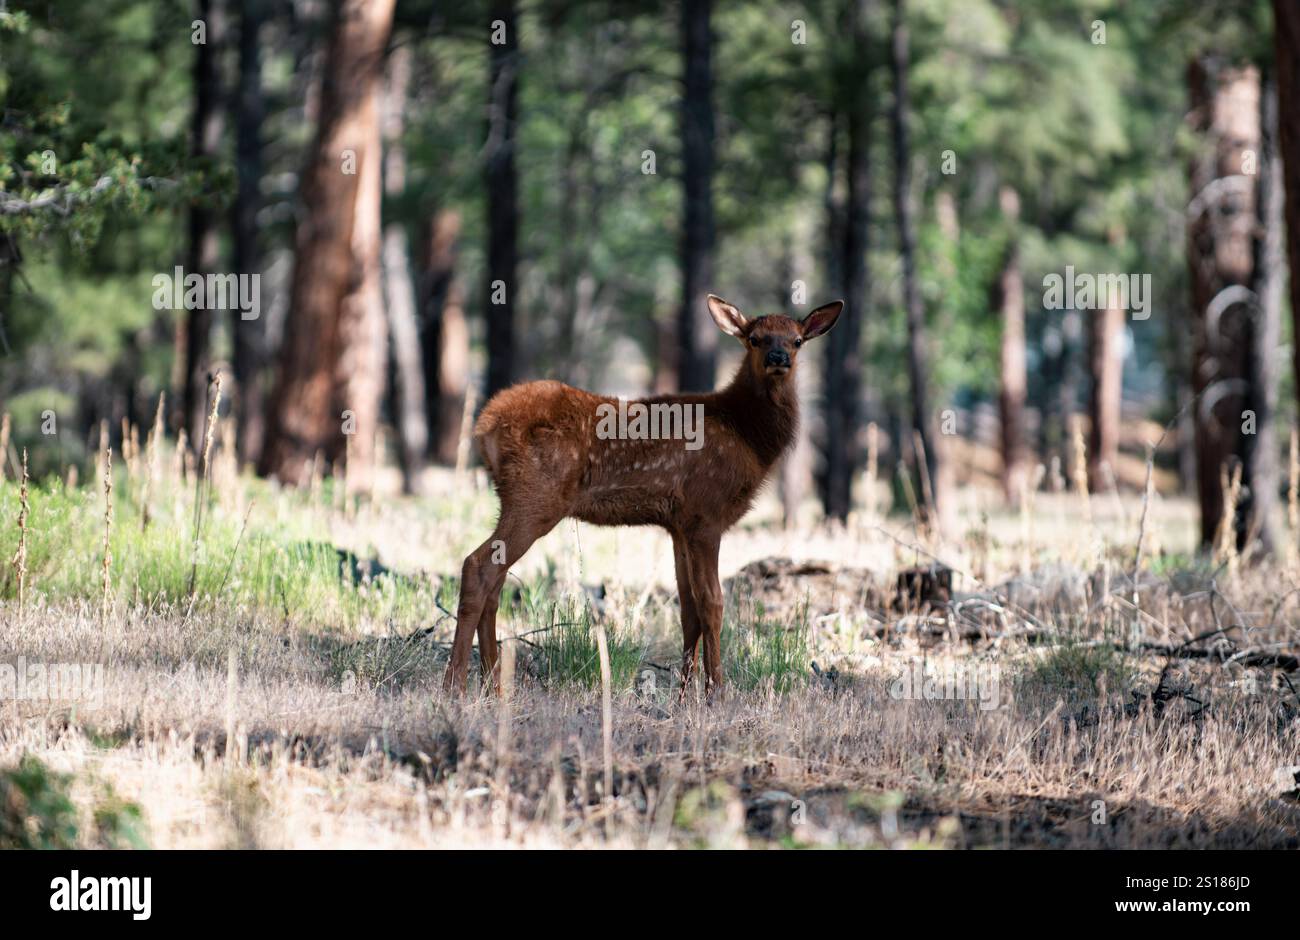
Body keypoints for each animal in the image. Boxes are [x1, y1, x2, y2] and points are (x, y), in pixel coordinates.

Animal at [442, 294, 844, 696]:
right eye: (755, 338)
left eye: (797, 340)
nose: (779, 358)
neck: (747, 437)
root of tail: (484, 424)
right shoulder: (706, 513)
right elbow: (713, 604)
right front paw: (716, 692)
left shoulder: (679, 524)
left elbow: (688, 609)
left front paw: (683, 697)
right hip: (536, 495)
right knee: (477, 566)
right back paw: (455, 685)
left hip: (514, 497)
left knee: (496, 580)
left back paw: (493, 684)